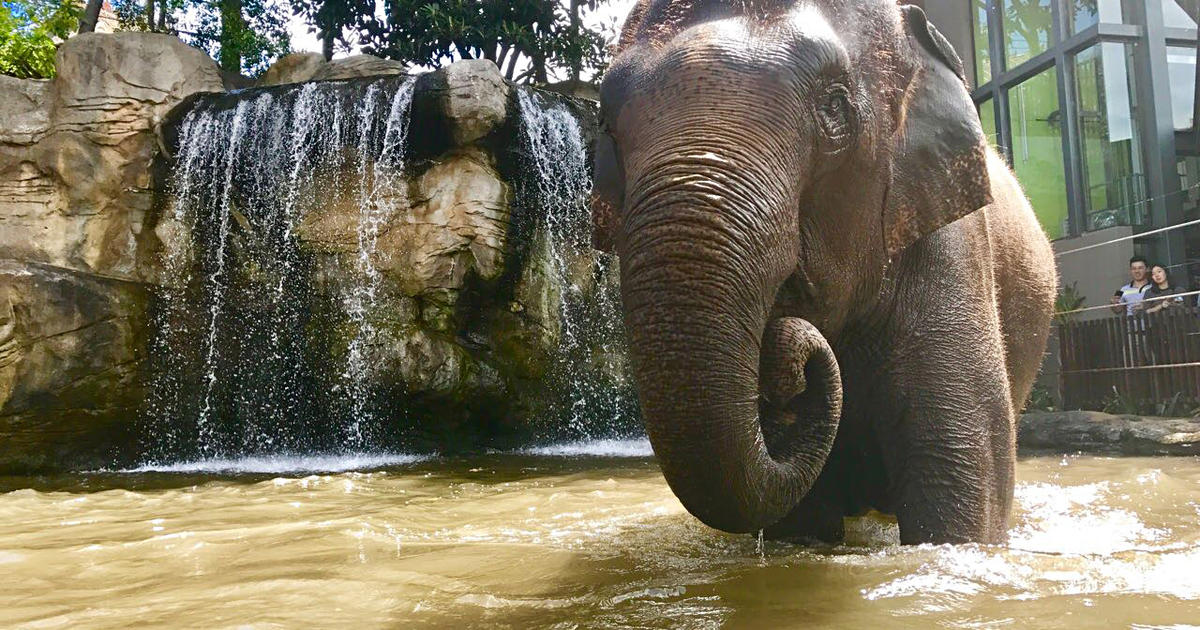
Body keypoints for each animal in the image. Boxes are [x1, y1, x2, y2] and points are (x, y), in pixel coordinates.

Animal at [590, 0, 1056, 545]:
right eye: (606, 127)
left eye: (834, 107)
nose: (787, 355)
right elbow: (801, 521)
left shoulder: (950, 248)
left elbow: (959, 492)